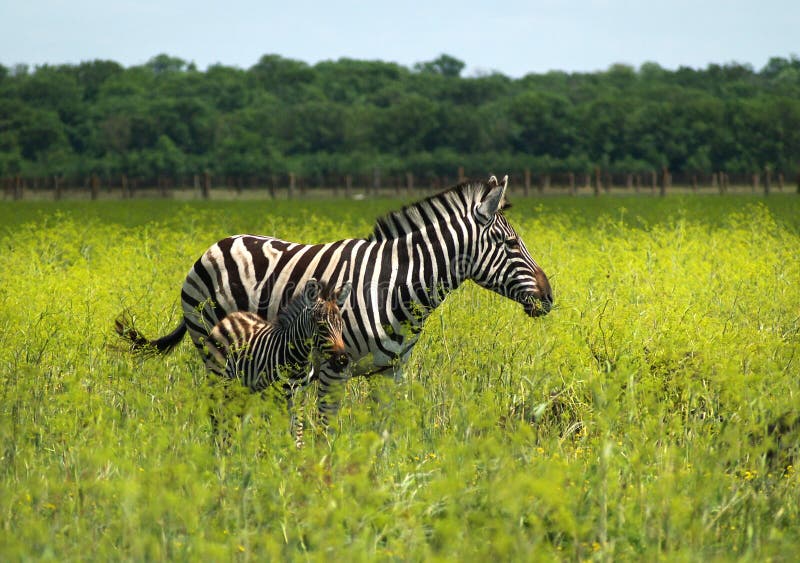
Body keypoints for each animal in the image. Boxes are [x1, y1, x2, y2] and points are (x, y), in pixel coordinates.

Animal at [117, 174, 553, 426]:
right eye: (510, 243)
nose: (549, 297)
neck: (394, 285)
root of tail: (218, 243)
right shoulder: (331, 368)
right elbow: (325, 430)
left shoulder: (390, 372)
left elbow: (382, 435)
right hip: (213, 351)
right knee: (219, 411)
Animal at [205, 278, 351, 446]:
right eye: (321, 326)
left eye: (341, 325)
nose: (342, 360)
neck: (298, 359)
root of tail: (231, 316)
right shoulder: (273, 394)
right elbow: (276, 427)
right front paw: (273, 449)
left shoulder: (299, 395)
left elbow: (297, 430)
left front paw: (293, 450)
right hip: (218, 379)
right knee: (217, 415)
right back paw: (218, 446)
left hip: (242, 387)